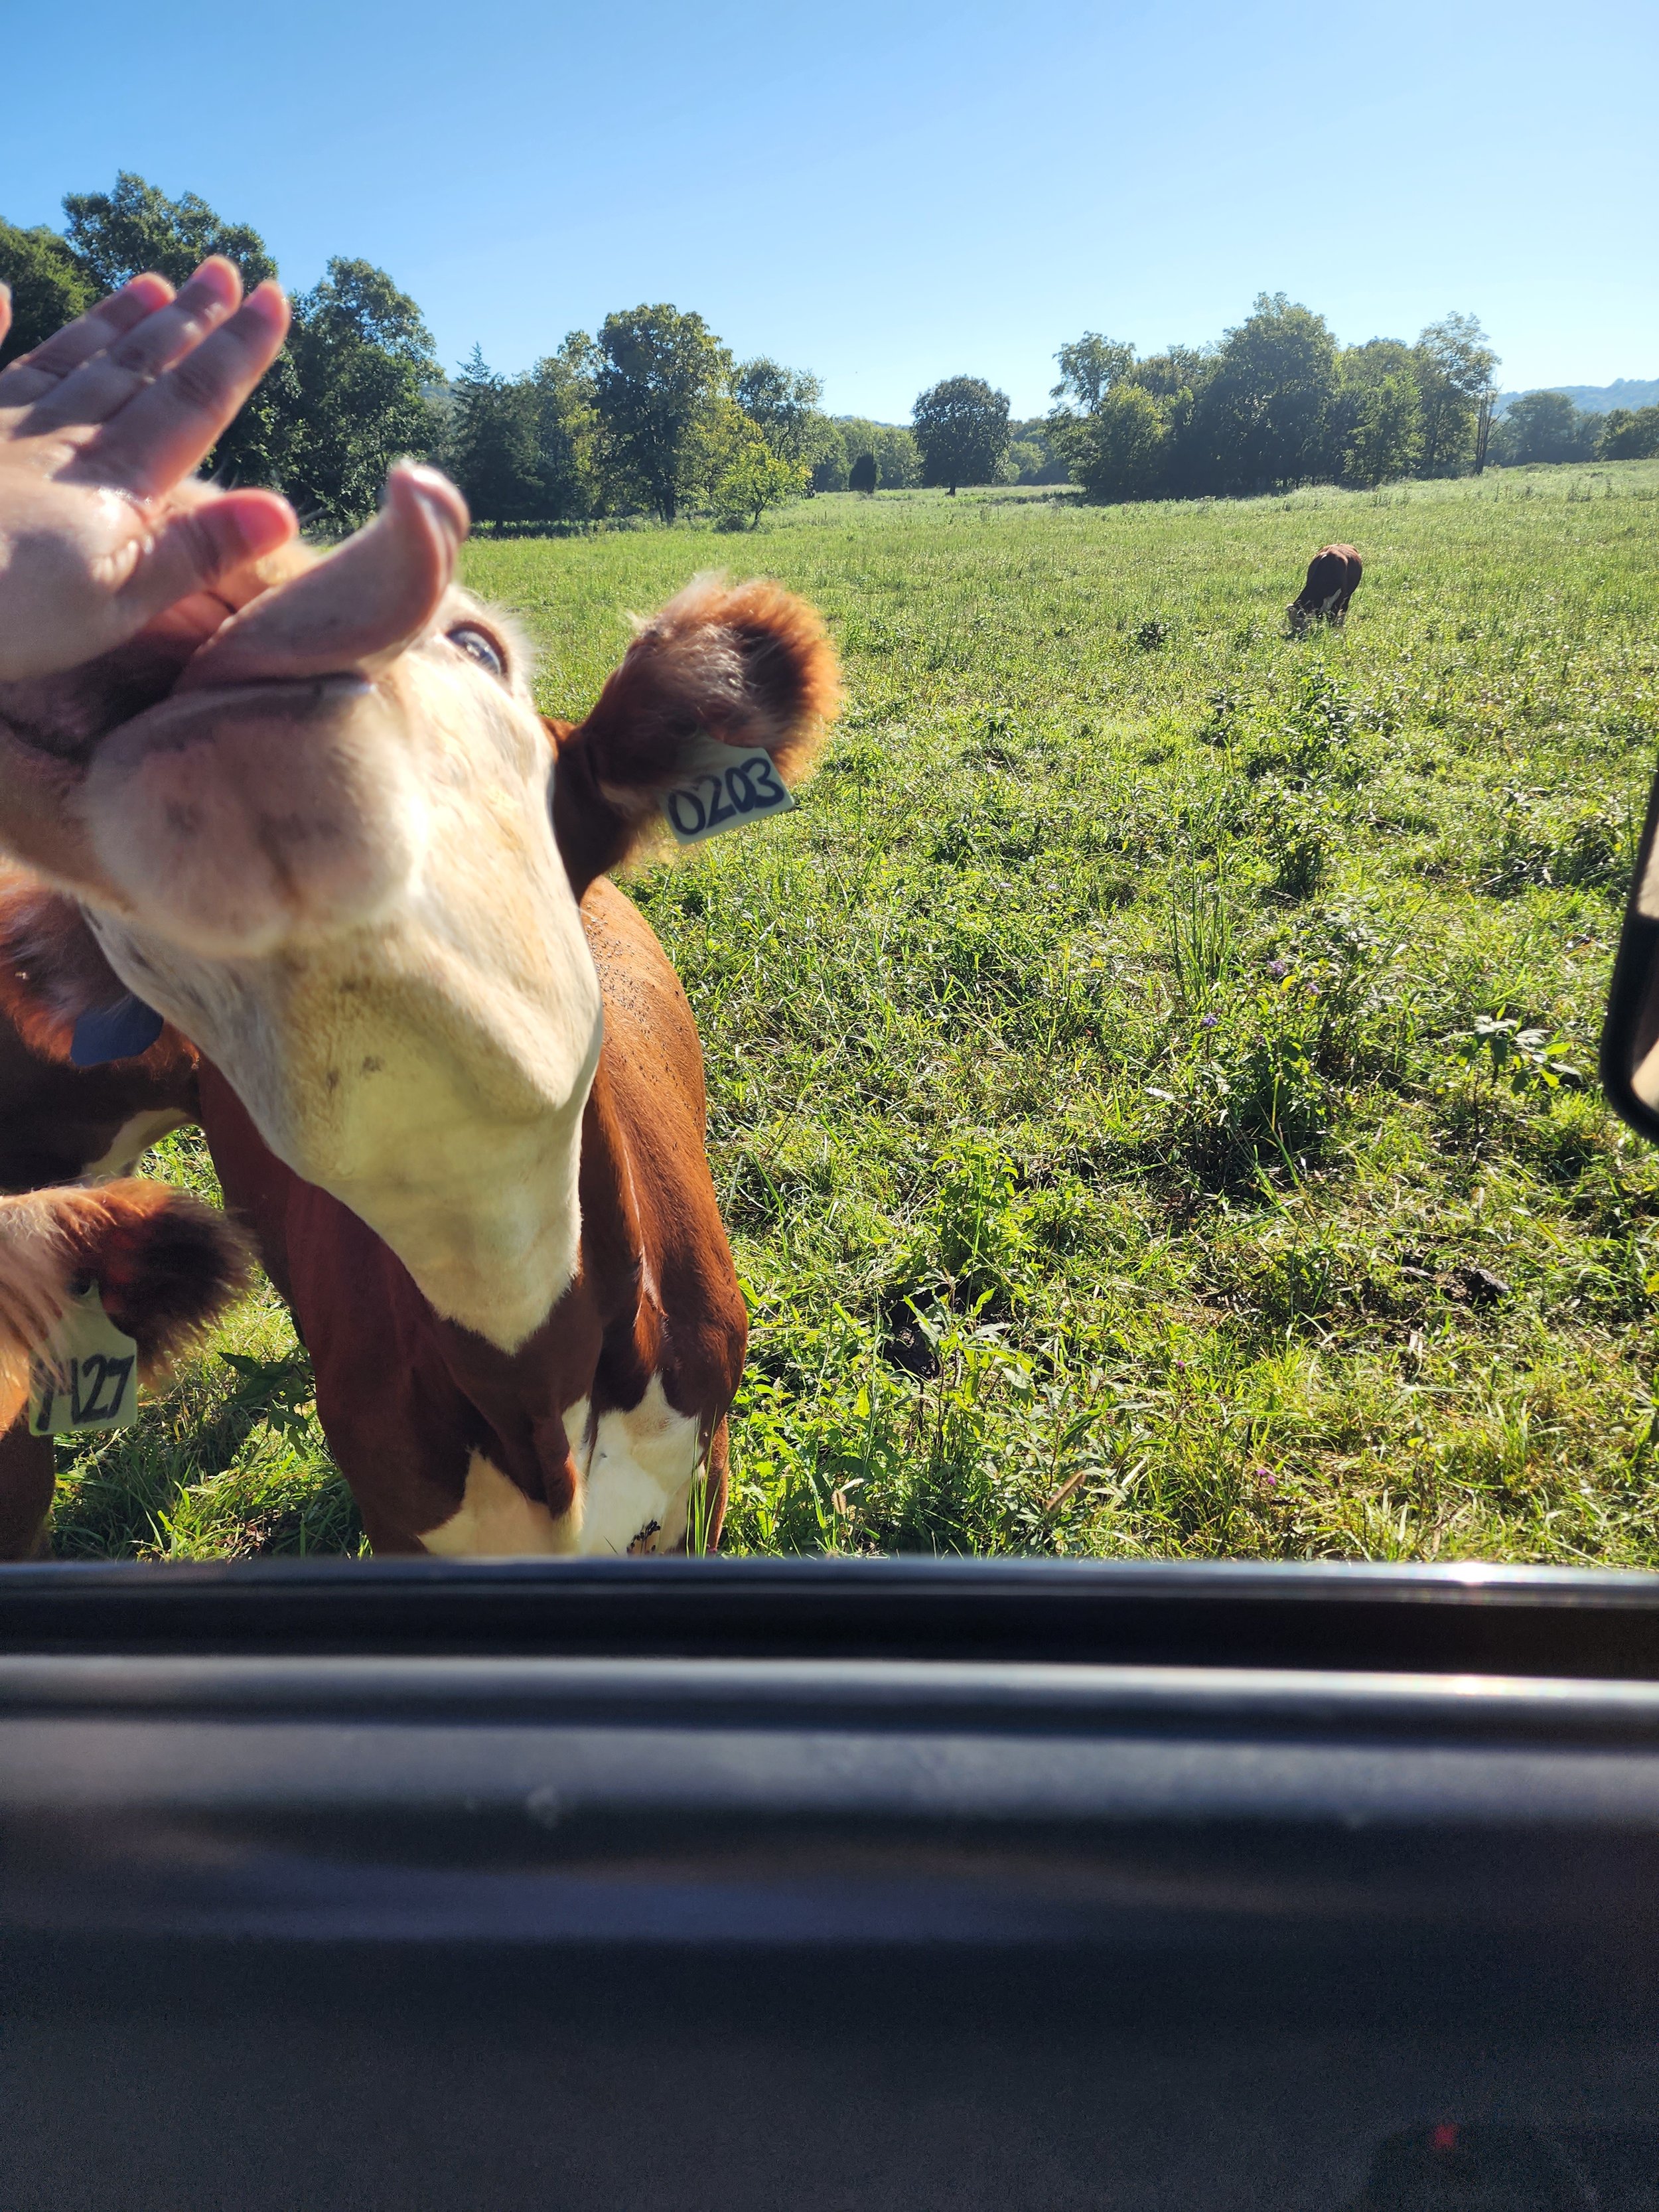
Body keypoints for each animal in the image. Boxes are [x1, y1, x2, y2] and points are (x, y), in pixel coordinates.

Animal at [1287, 543, 1363, 633]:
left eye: (1298, 621)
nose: (1297, 633)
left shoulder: (1337, 601)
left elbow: (1332, 618)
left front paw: (1331, 631)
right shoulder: (1318, 603)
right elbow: (1319, 617)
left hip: (1349, 595)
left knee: (1344, 608)